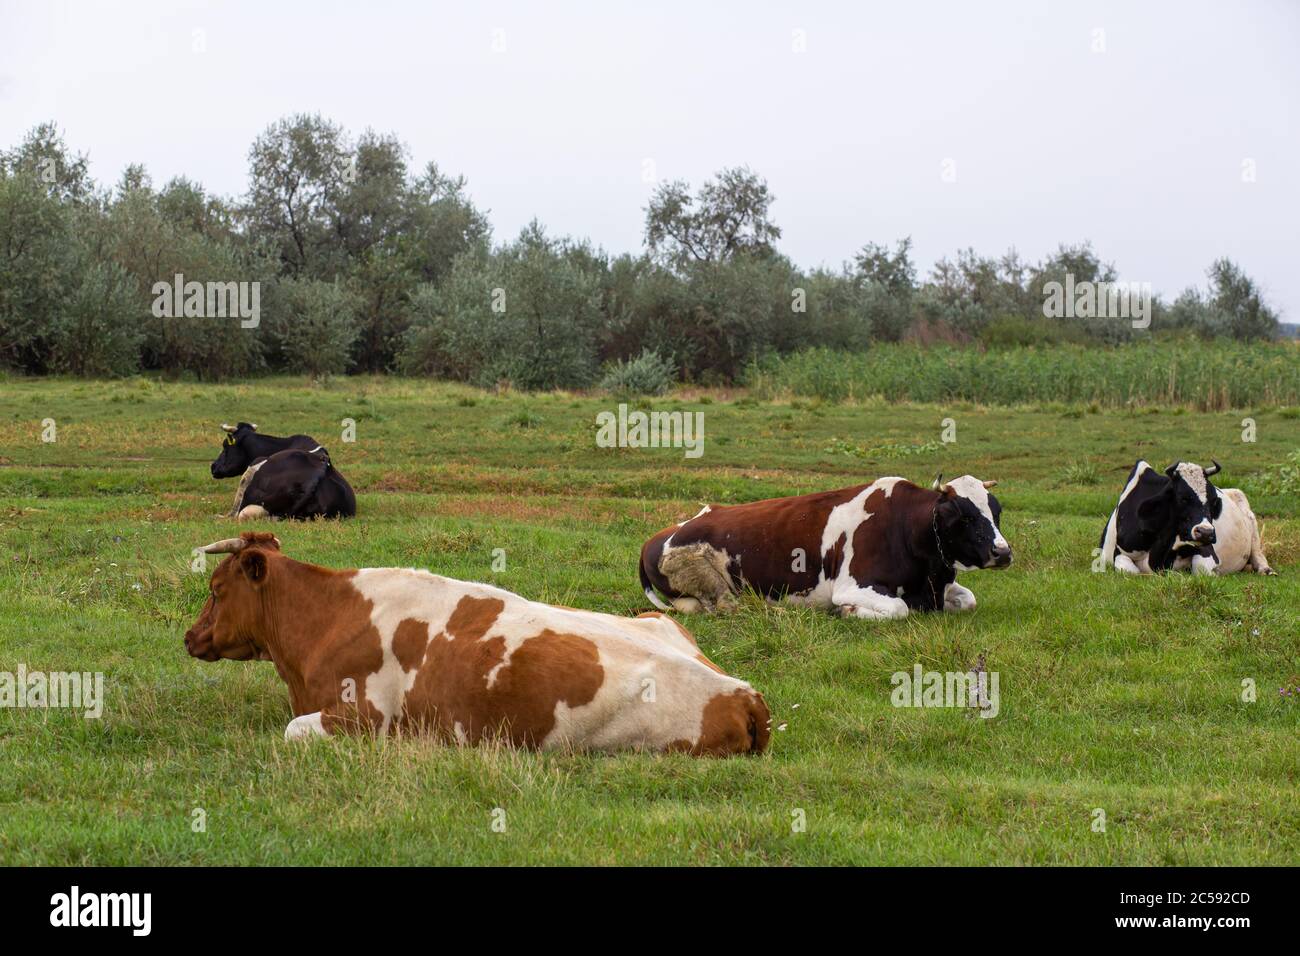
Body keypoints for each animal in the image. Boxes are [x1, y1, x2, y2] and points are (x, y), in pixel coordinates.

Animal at [638, 474, 1012, 620]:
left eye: (996, 511)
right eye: (963, 517)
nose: (1003, 552)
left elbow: (968, 599)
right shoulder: (852, 585)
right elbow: (898, 609)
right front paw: (848, 612)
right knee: (722, 605)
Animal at [1098, 459, 1273, 575]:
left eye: (1214, 500)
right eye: (1183, 498)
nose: (1206, 533)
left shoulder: (1206, 550)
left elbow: (1201, 569)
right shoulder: (1119, 553)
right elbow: (1130, 571)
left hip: (1249, 518)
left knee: (1257, 551)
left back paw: (1266, 569)